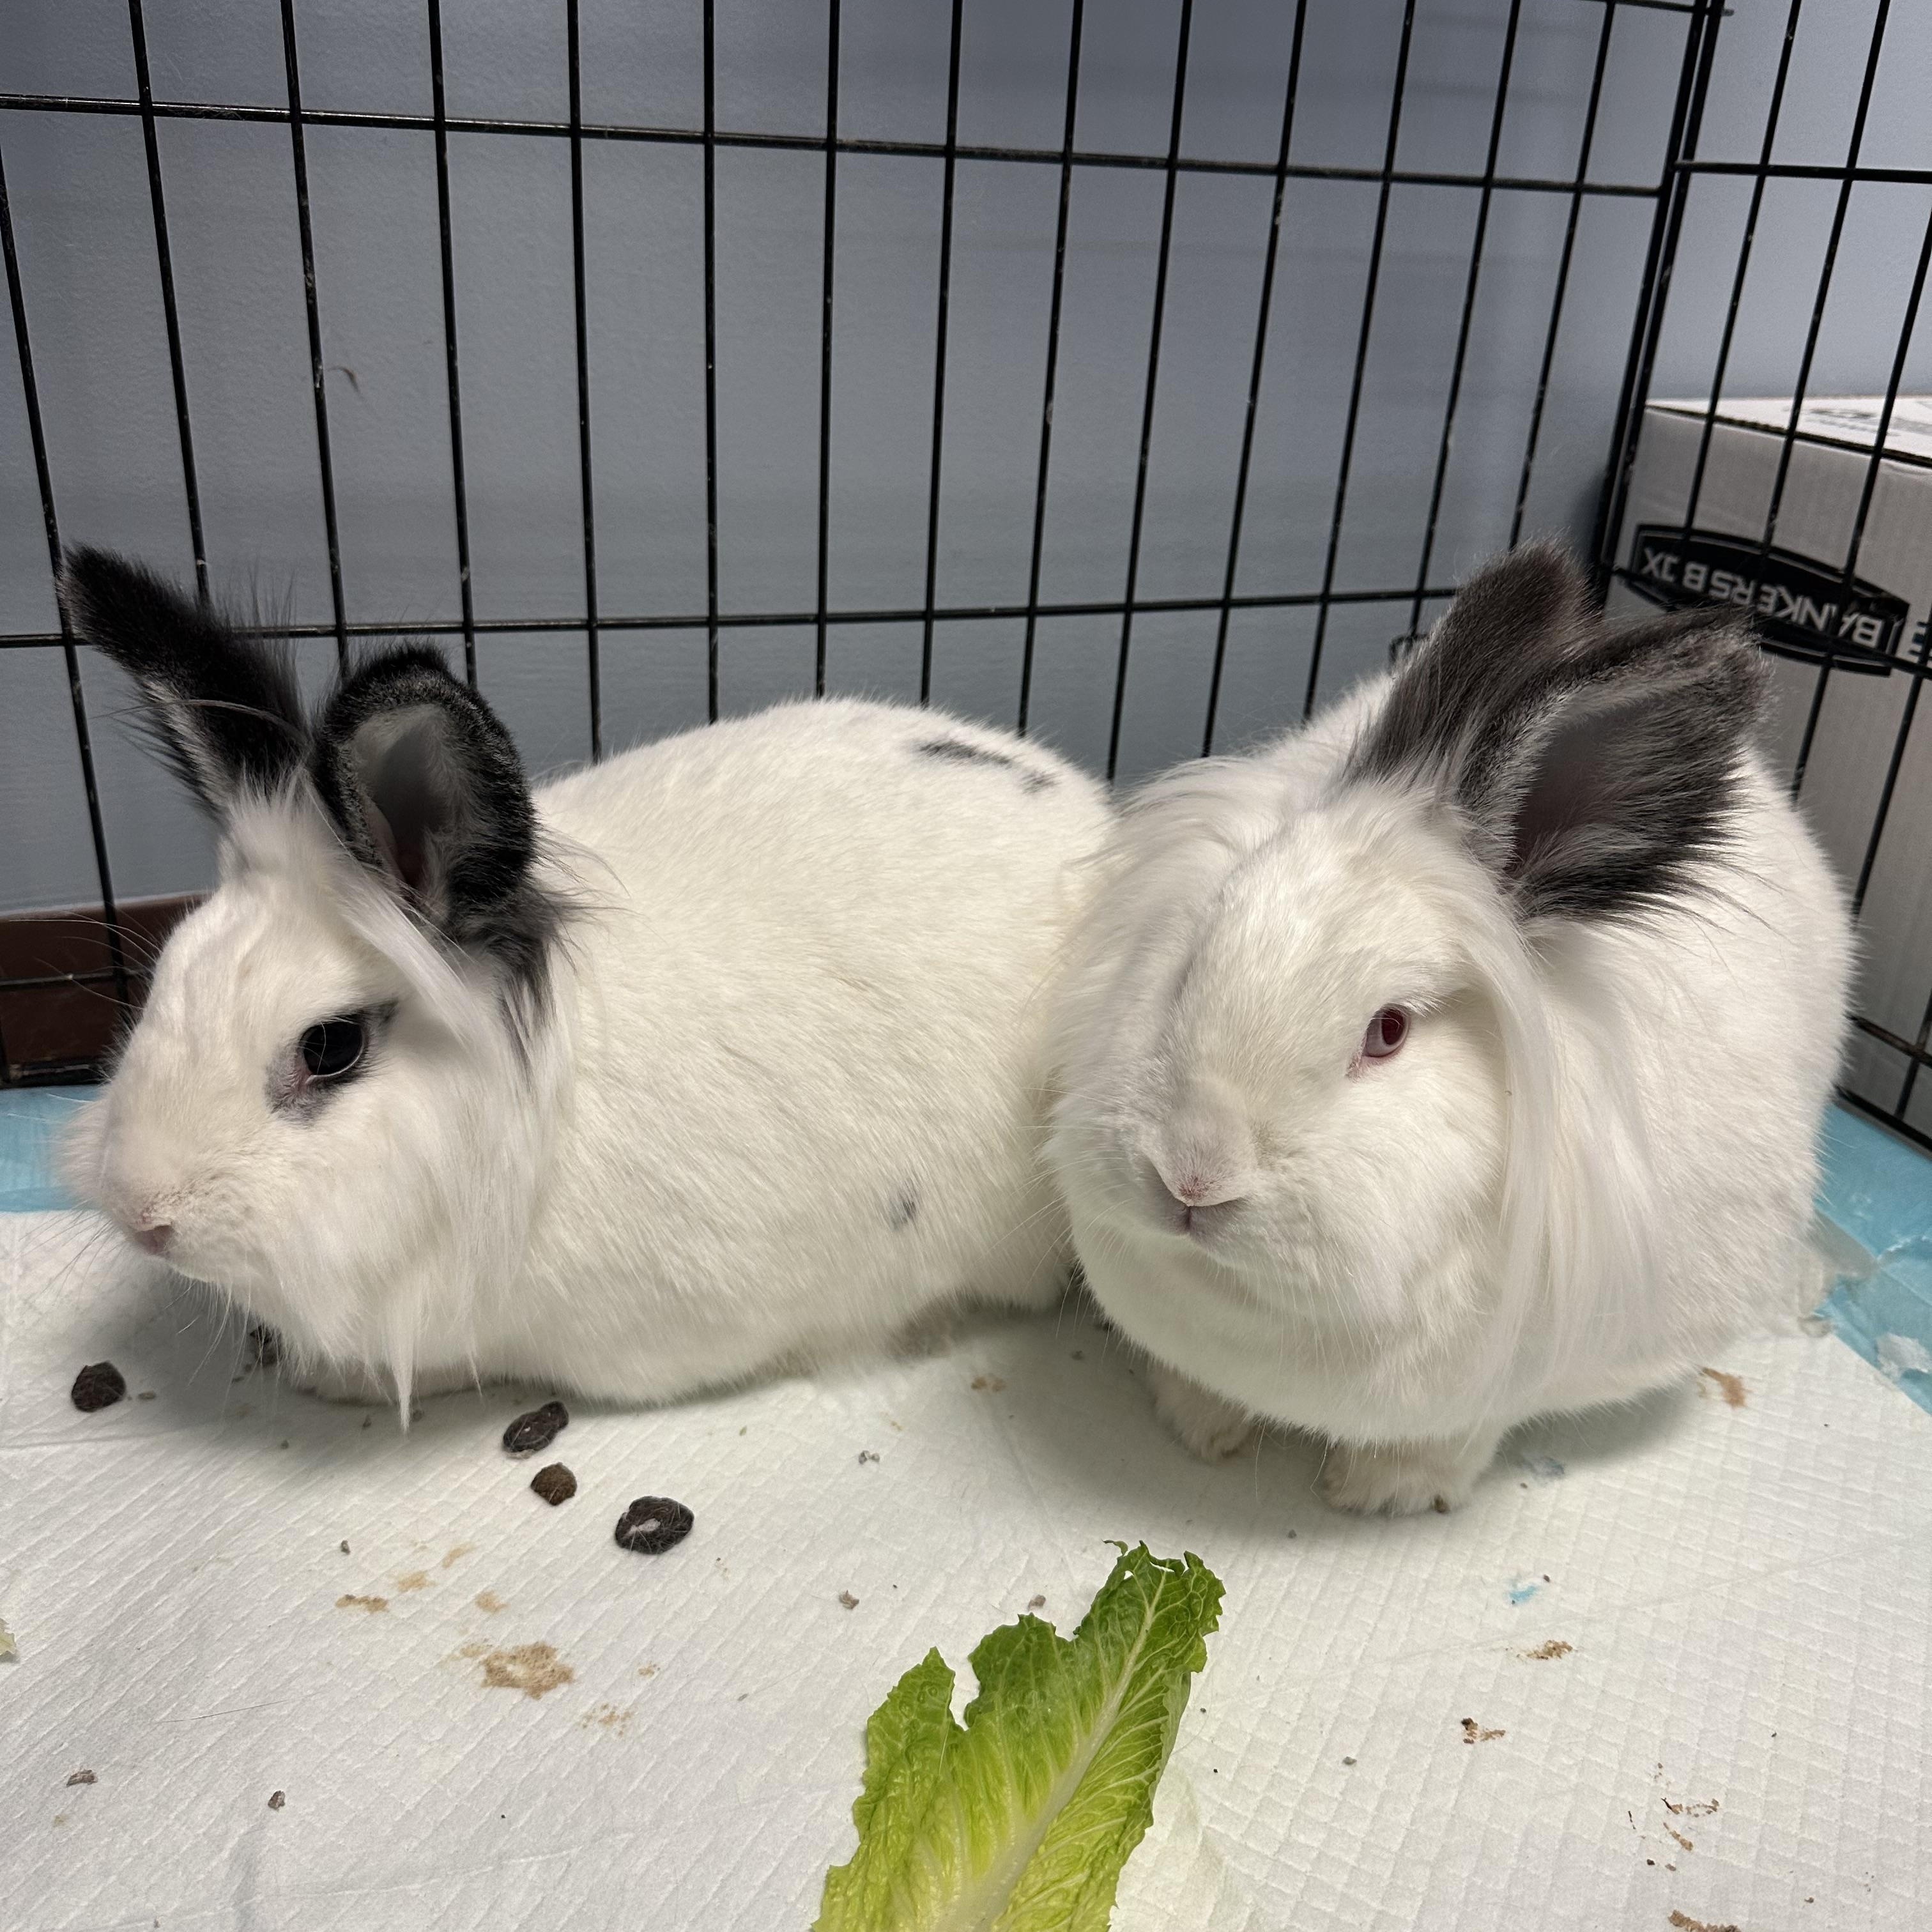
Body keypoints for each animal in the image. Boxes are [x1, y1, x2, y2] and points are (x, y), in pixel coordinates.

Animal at [1045, 543, 1852, 1515]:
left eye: (1389, 1032)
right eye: (1192, 958)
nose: (1193, 1178)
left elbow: (1457, 1439)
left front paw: (1381, 1492)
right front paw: (1202, 1430)